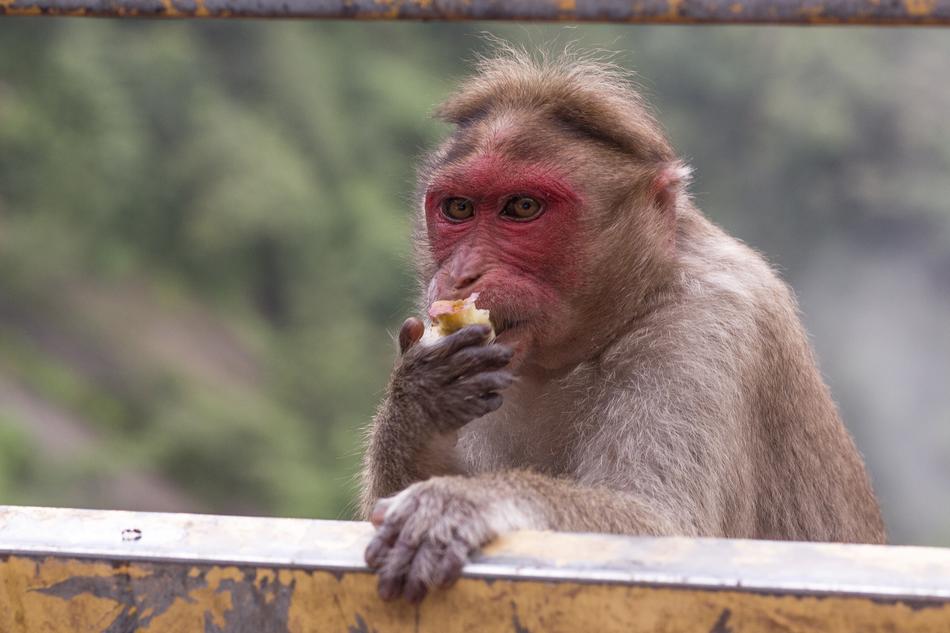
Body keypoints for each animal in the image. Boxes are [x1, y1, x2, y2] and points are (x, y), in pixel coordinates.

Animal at [360, 48, 886, 604]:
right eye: (458, 208)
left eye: (521, 207)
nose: (462, 275)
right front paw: (420, 398)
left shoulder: (707, 327)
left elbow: (662, 526)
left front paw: (461, 502)